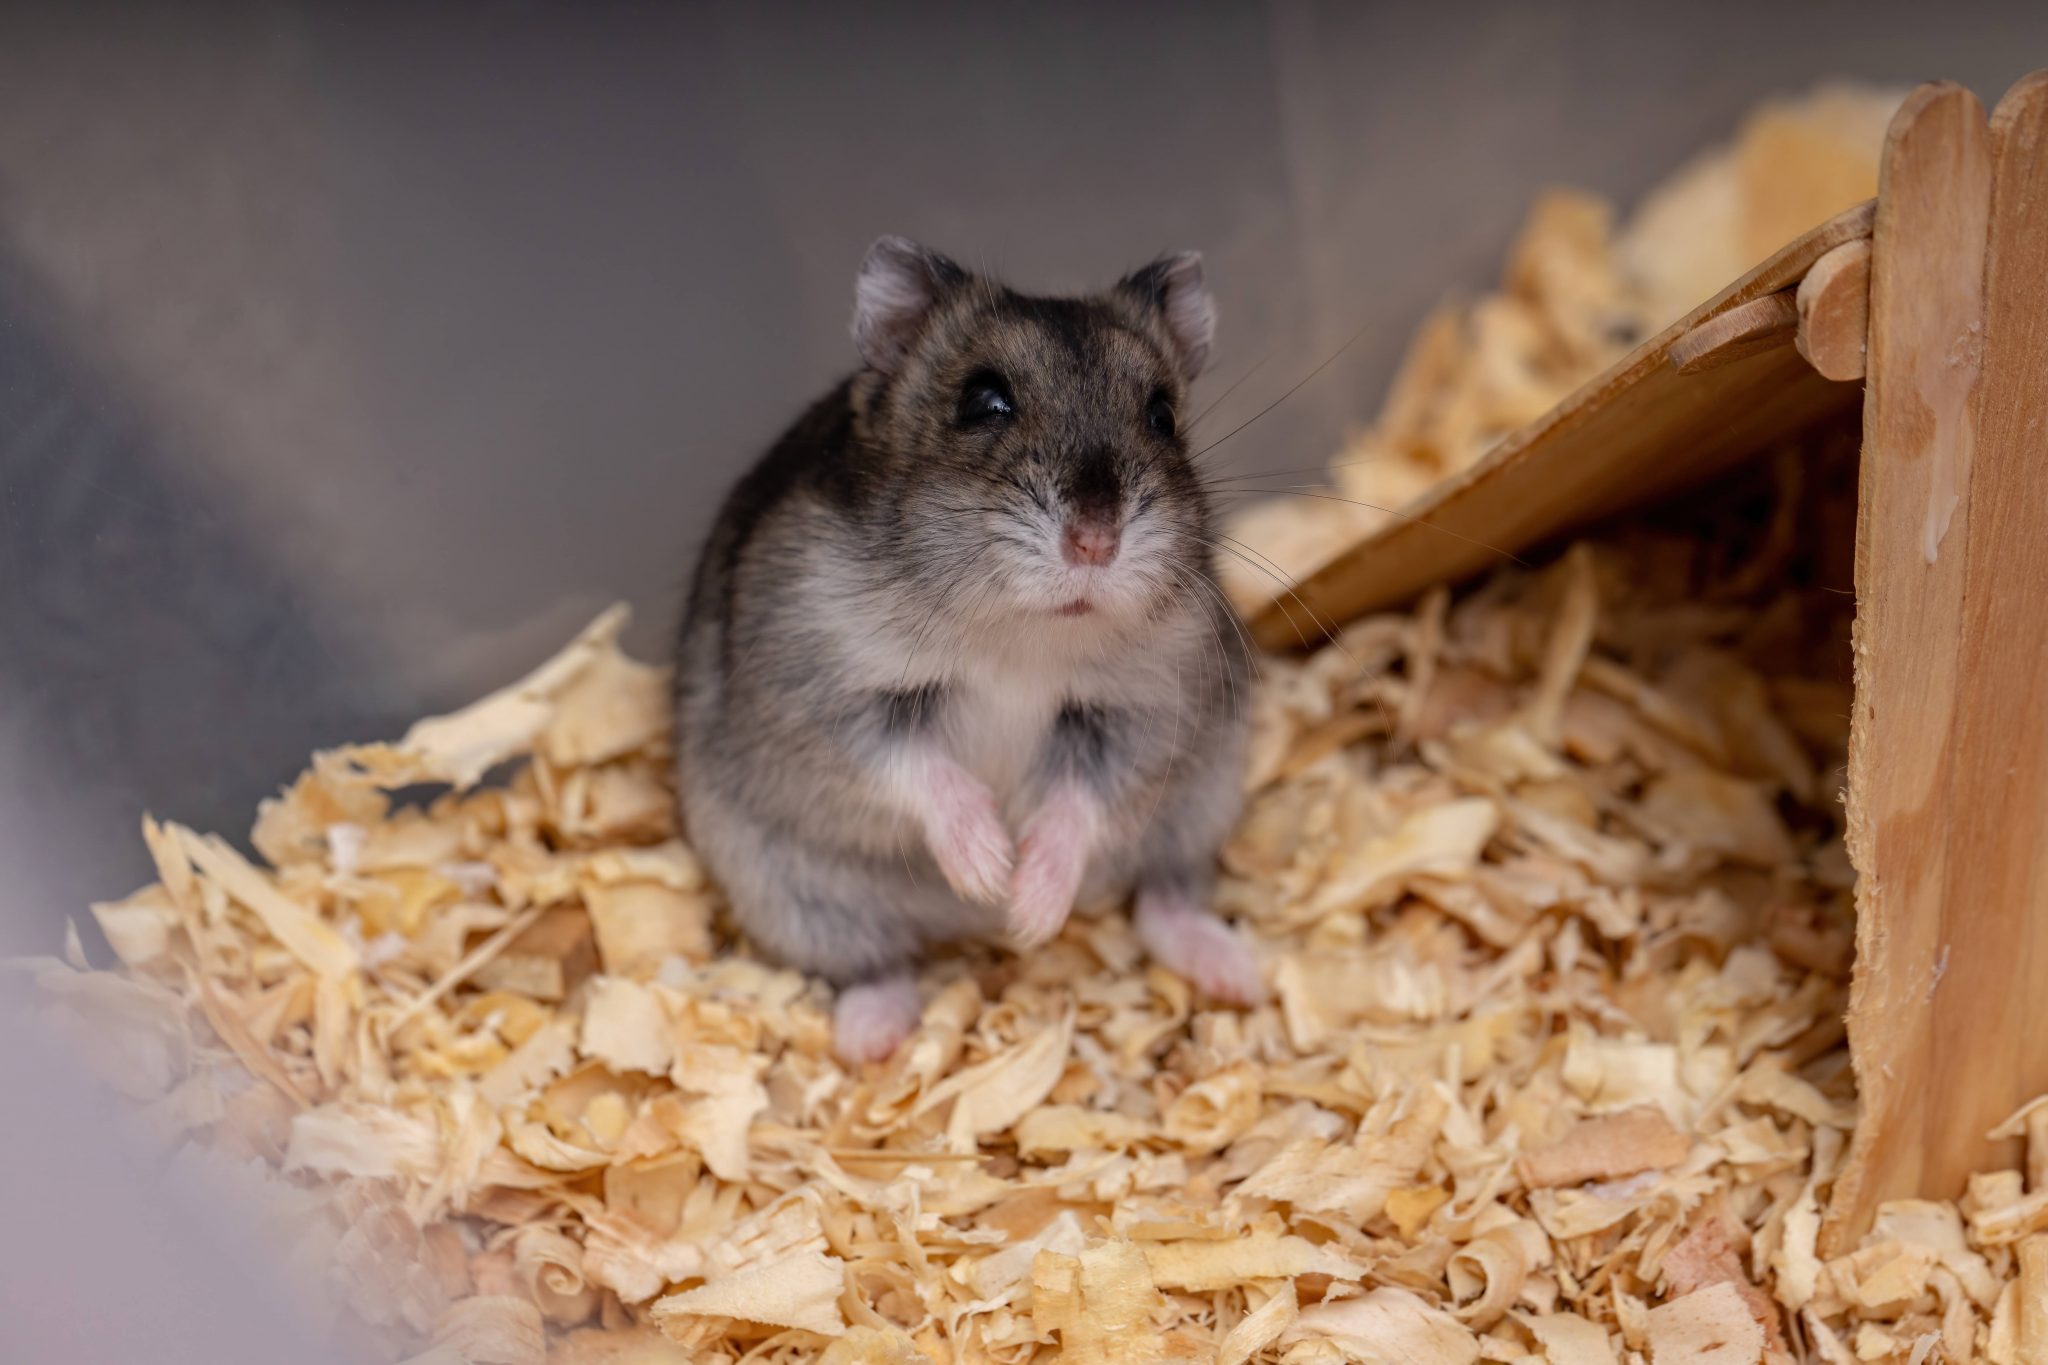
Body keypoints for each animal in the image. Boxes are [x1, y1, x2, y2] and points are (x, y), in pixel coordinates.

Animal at [674, 236, 1260, 1063]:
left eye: (1163, 414)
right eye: (982, 402)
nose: (1096, 542)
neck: (1018, 633)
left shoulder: (1142, 709)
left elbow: (1080, 798)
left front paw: (1030, 906)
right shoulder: (823, 695)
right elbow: (916, 768)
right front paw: (989, 869)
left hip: (1198, 810)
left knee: (1160, 901)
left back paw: (1238, 974)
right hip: (791, 893)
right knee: (878, 963)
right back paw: (875, 1031)